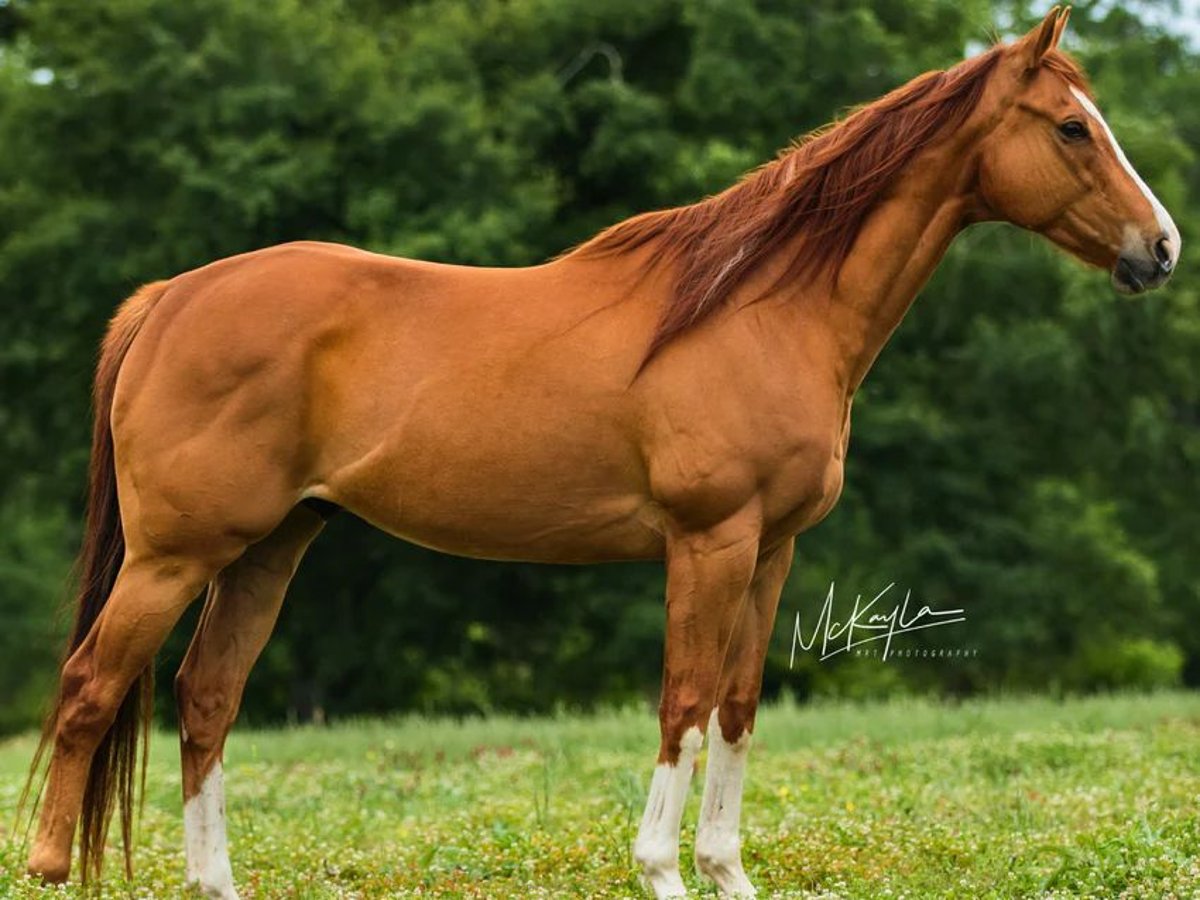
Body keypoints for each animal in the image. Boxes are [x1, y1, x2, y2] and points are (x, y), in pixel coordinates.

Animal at [21, 7, 1178, 898]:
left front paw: (726, 872)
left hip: (270, 548)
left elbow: (738, 706)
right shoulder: (710, 541)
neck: (762, 310)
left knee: (205, 699)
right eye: (1072, 129)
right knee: (89, 689)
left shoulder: (773, 551)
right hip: (174, 555)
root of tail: (172, 297)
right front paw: (663, 870)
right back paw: (49, 867)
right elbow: (682, 699)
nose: (1161, 249)